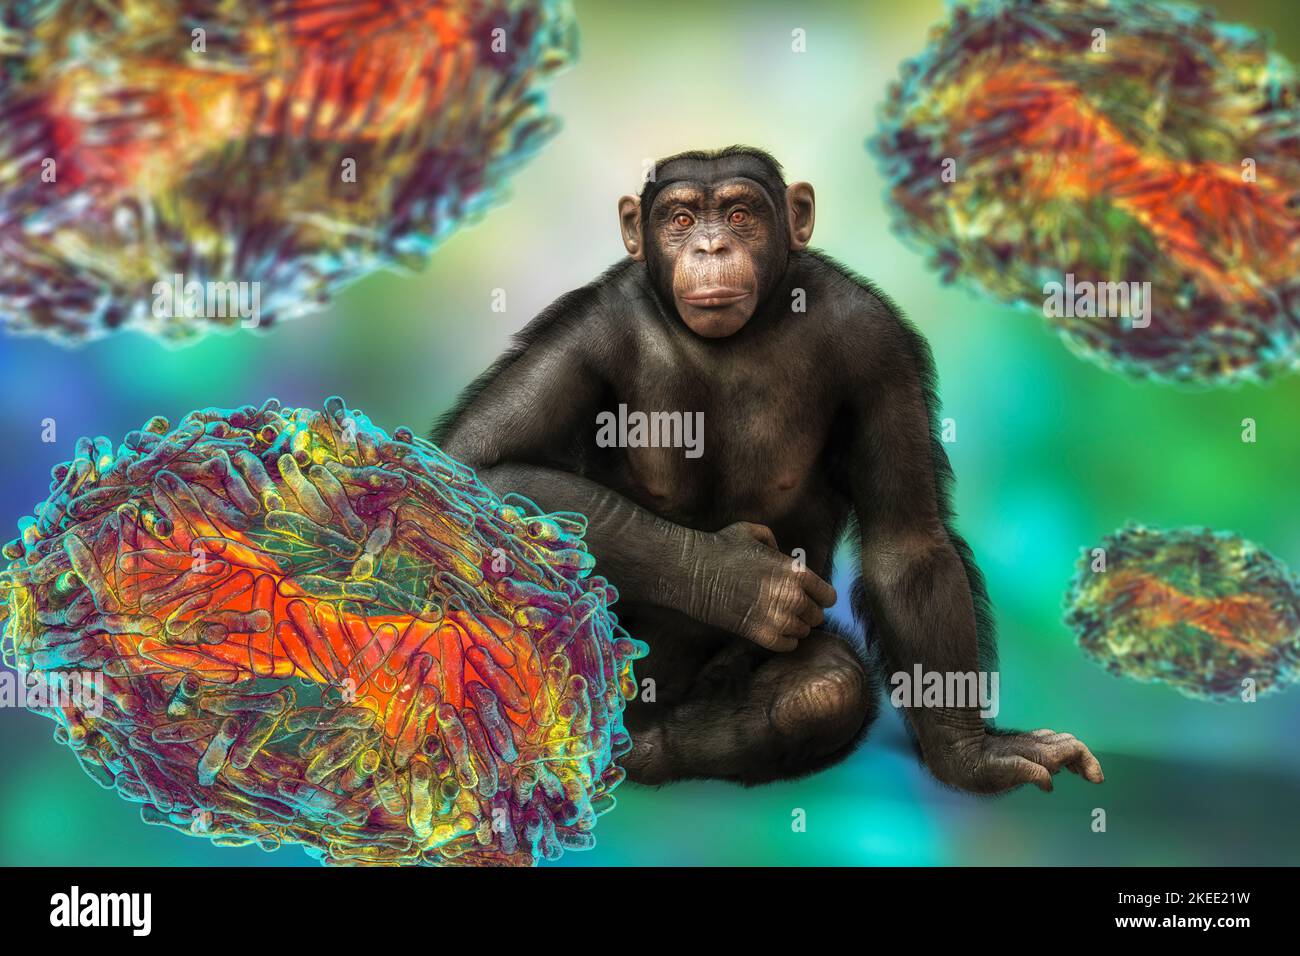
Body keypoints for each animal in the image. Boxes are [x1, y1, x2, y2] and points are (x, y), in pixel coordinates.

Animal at [434, 146, 1104, 793]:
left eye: (739, 214)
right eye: (680, 219)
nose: (711, 247)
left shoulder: (878, 341)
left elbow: (907, 543)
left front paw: (970, 755)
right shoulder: (589, 327)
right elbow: (476, 468)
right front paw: (742, 579)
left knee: (828, 686)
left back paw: (642, 751)